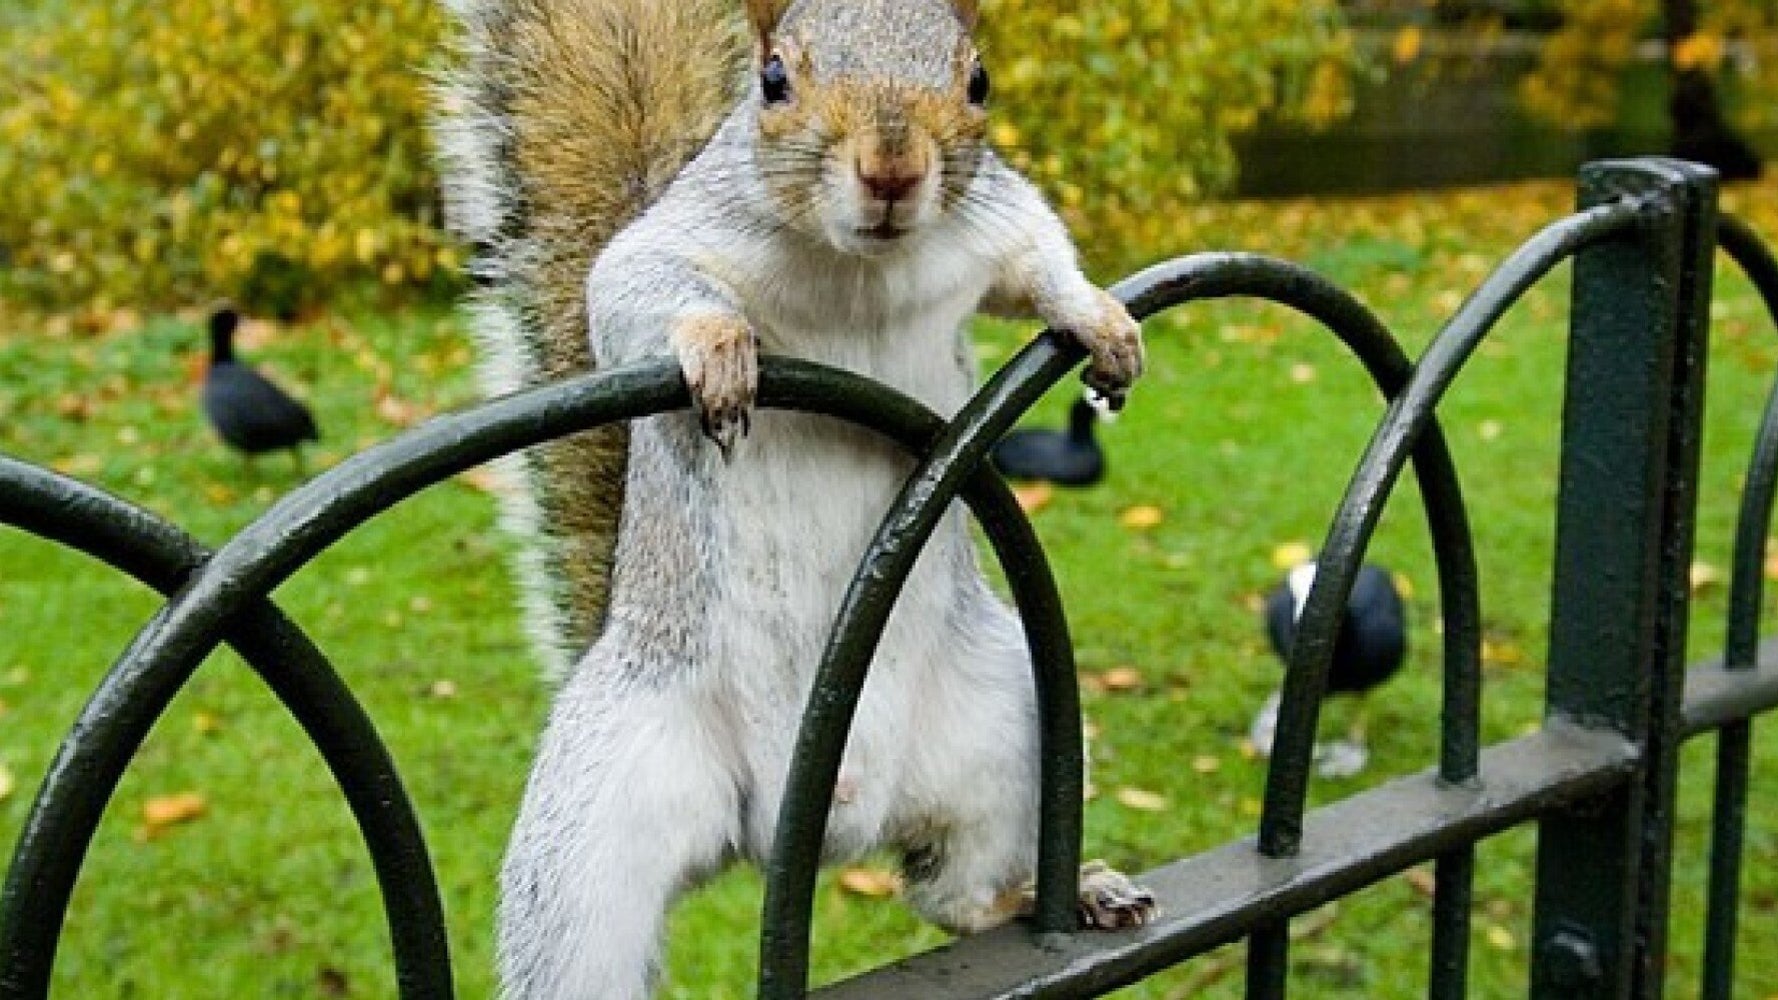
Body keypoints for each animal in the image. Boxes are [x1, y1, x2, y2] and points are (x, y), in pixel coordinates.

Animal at [437, 0, 1154, 995]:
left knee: (952, 894)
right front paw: (716, 346)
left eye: (978, 82)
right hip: (599, 815)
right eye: (773, 80)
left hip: (1010, 724)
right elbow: (634, 292)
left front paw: (1099, 320)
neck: (860, 270)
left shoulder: (993, 224)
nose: (891, 168)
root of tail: (802, 822)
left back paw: (1066, 892)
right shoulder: (671, 242)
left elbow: (1039, 257)